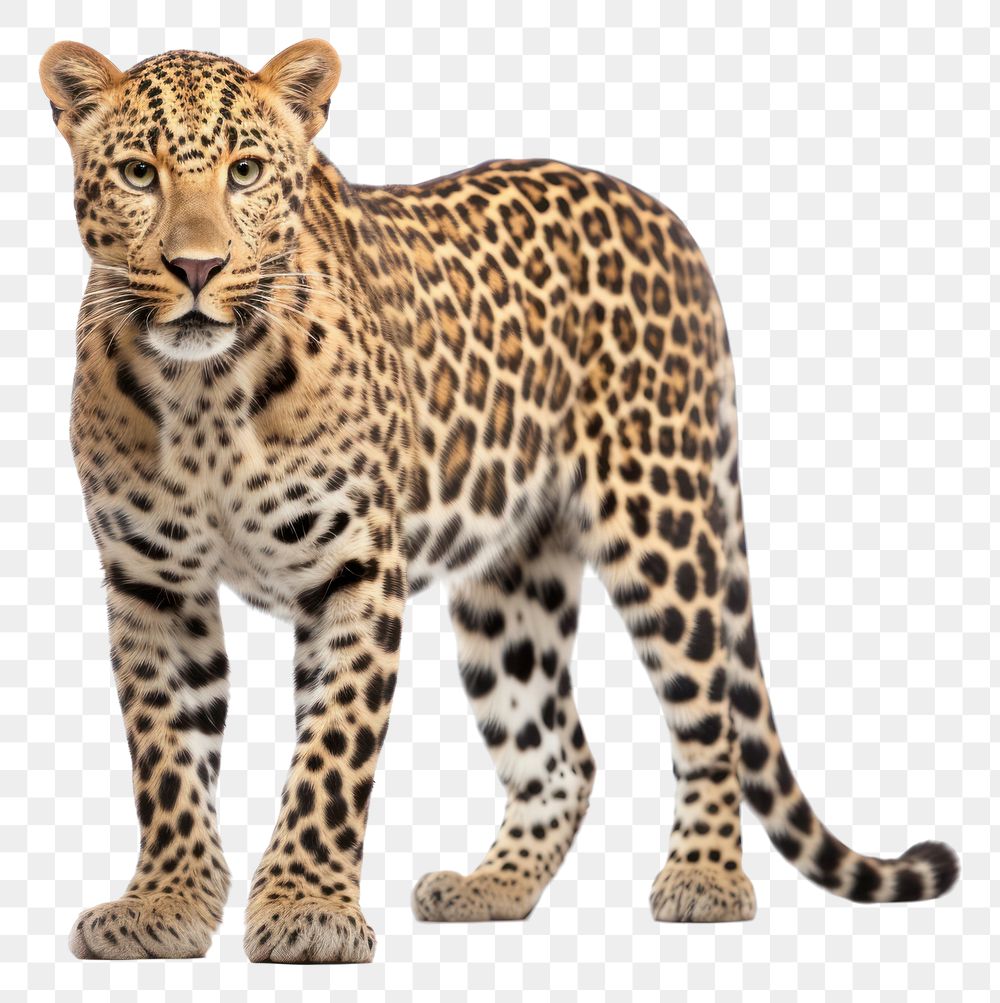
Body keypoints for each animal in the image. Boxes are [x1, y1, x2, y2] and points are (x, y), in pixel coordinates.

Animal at [40, 38, 959, 963]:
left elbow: (332, 752)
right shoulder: (153, 583)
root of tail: (667, 220)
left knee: (709, 717)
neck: (203, 395)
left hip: (663, 520)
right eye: (138, 173)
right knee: (562, 757)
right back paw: (491, 886)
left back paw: (706, 877)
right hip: (511, 576)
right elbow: (166, 753)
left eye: (246, 172)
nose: (197, 268)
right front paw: (164, 900)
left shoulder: (355, 570)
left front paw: (309, 908)